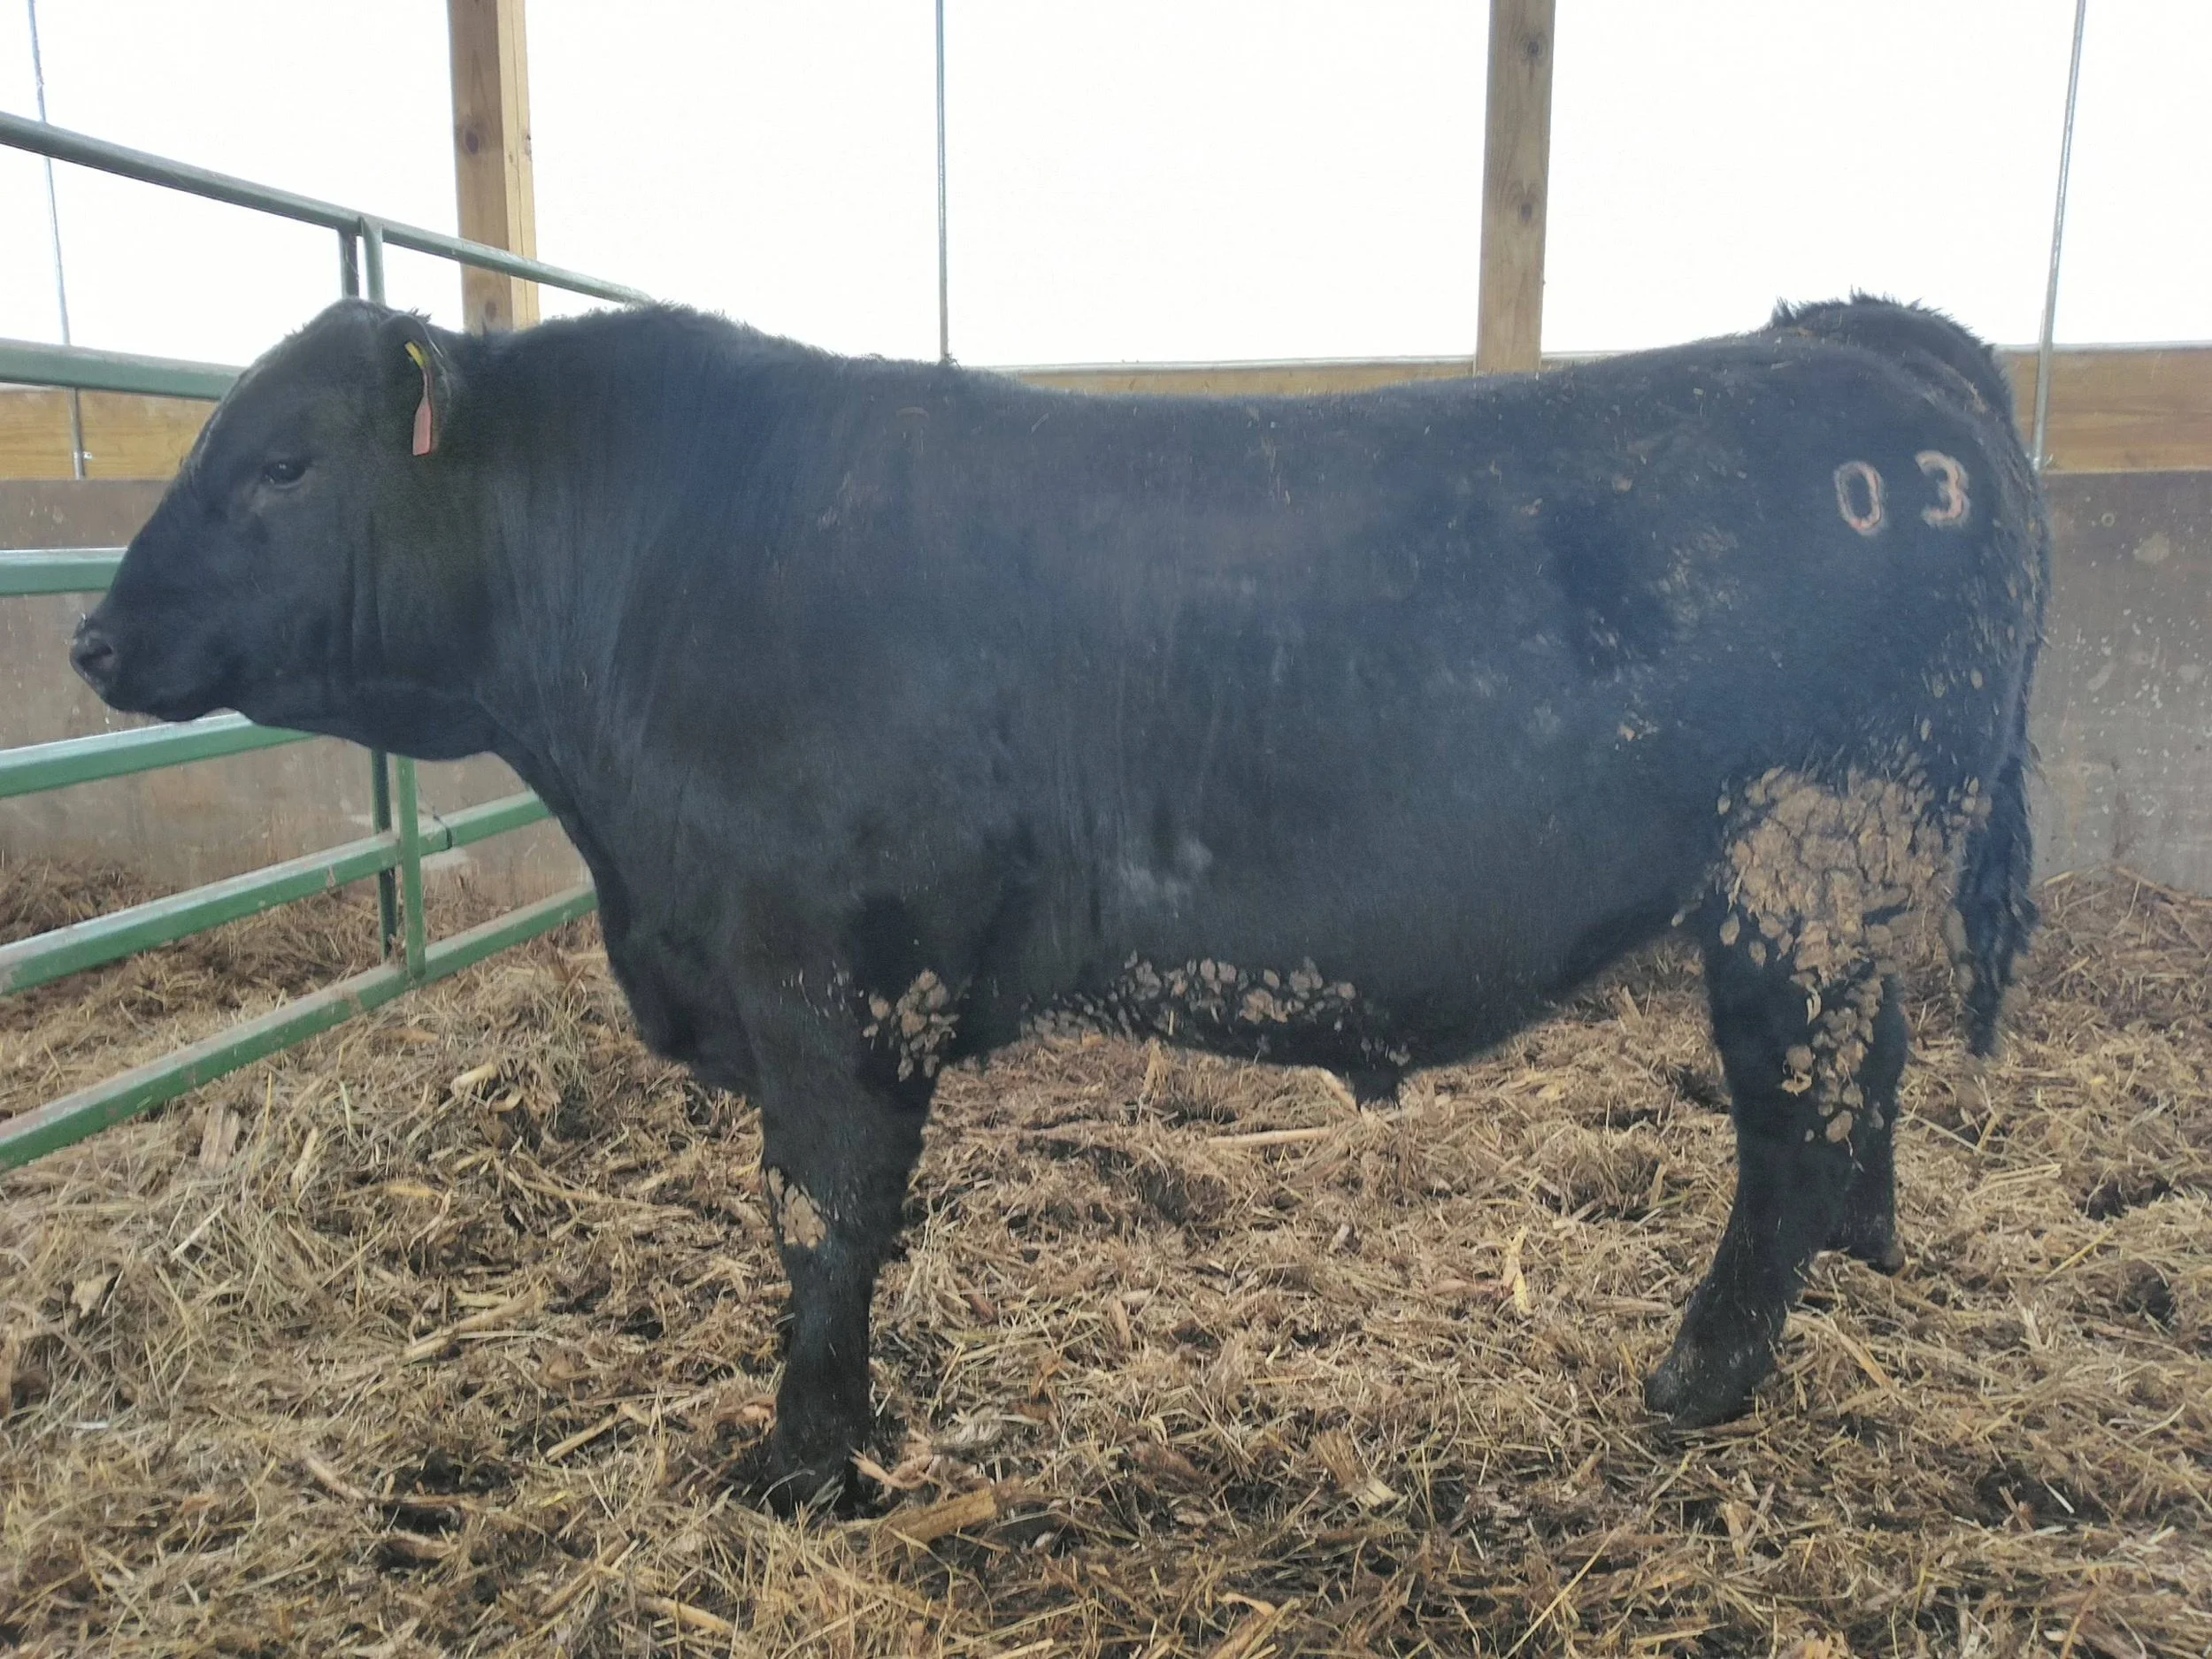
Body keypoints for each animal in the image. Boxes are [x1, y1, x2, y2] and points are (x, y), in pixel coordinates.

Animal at [73, 293, 2045, 1509]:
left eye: (280, 463)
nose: (89, 637)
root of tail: (1852, 347)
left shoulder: (829, 974)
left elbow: (824, 1218)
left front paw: (804, 1460)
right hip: (1840, 885)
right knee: (1851, 1096)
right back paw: (1858, 1265)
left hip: (1799, 865)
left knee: (1788, 1127)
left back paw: (1700, 1373)